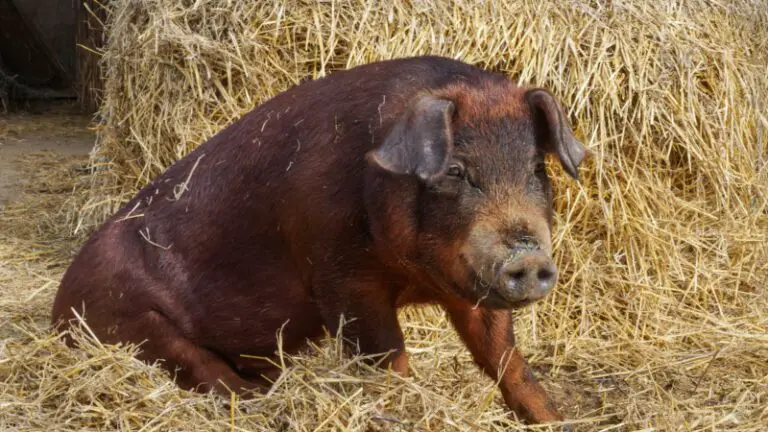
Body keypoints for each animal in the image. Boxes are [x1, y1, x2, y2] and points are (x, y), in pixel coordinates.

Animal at [51, 55, 586, 425]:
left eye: (537, 169)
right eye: (455, 171)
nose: (528, 256)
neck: (415, 277)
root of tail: (57, 307)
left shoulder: (470, 288)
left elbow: (506, 360)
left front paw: (556, 420)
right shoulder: (341, 277)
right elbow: (387, 358)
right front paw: (397, 411)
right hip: (136, 324)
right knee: (211, 377)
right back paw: (260, 407)